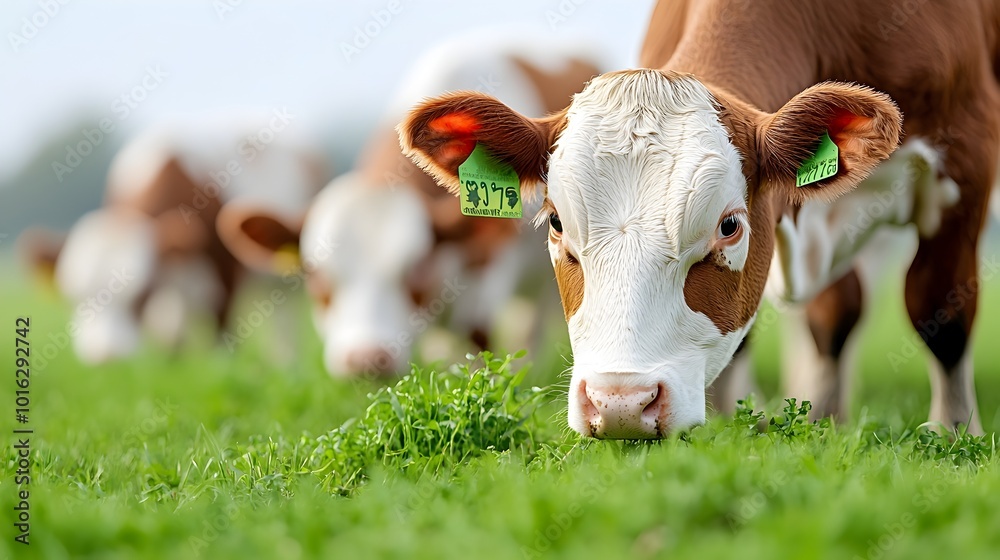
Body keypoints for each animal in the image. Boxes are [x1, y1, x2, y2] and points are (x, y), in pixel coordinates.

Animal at [20, 115, 328, 364]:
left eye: (141, 297)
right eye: (72, 298)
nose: (106, 359)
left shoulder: (225, 273)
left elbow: (222, 336)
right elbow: (171, 344)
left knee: (285, 322)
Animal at [399, 0, 1000, 438]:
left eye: (729, 225)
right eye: (555, 223)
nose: (621, 404)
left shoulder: (969, 161)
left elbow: (939, 310)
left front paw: (953, 433)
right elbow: (819, 319)